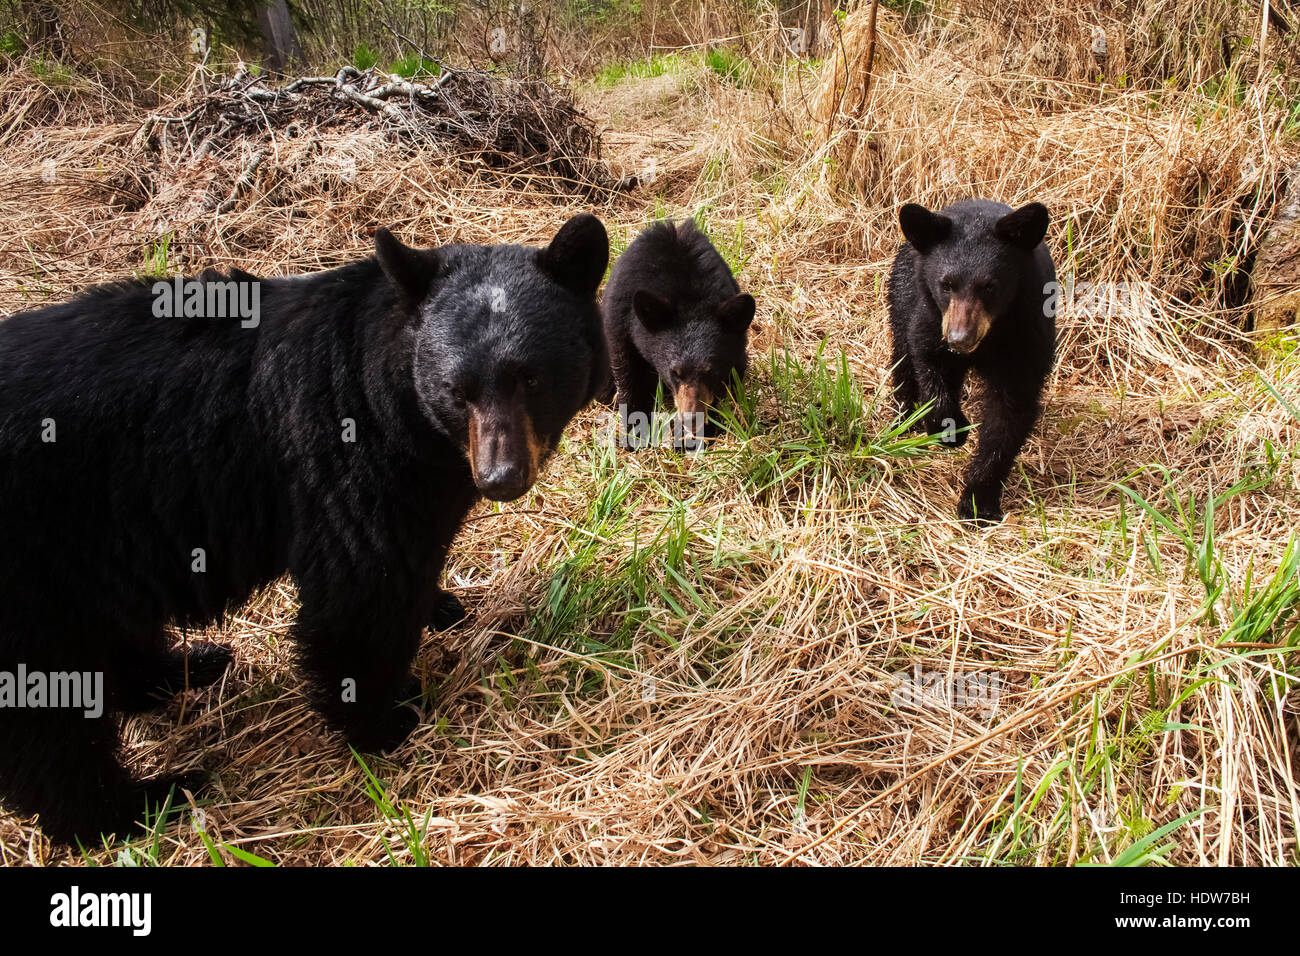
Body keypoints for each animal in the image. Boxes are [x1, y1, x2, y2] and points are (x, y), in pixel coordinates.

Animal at [0, 213, 609, 844]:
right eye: (456, 391)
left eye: (531, 379)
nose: (500, 478)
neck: (392, 392)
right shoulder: (345, 457)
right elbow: (361, 585)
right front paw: (385, 719)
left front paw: (440, 604)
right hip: (30, 566)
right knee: (43, 712)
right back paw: (133, 804)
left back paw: (182, 668)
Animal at [600, 218, 755, 450]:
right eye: (675, 372)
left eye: (710, 371)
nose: (691, 418)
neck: (688, 295)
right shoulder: (620, 318)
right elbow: (627, 372)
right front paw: (635, 432)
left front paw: (697, 436)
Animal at [886, 198, 1056, 524]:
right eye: (946, 285)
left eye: (990, 286)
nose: (959, 339)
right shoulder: (930, 318)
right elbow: (927, 361)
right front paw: (951, 430)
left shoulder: (1028, 336)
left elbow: (1009, 415)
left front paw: (978, 502)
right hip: (900, 293)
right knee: (902, 356)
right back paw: (903, 419)